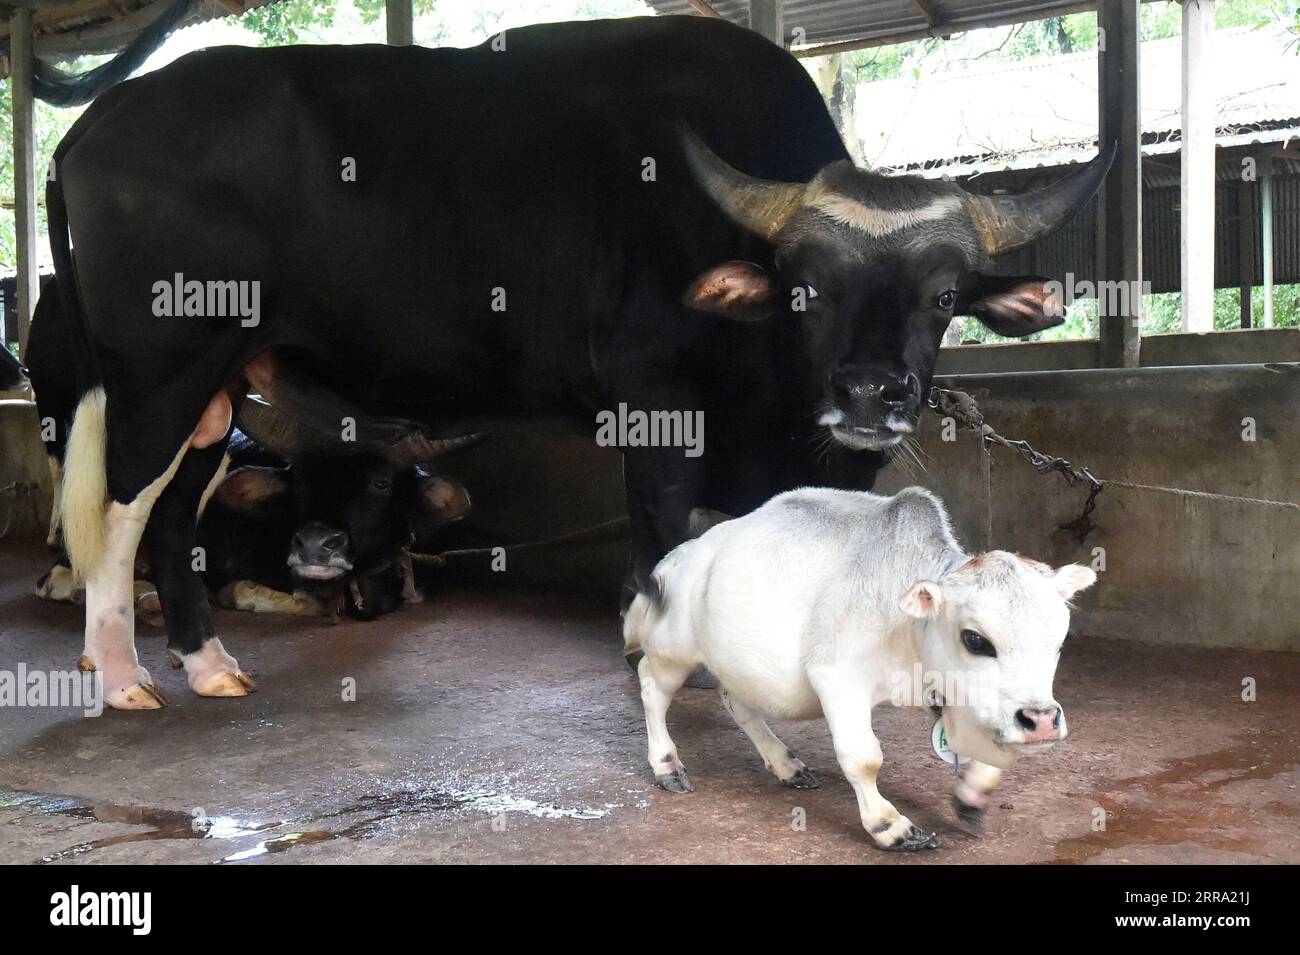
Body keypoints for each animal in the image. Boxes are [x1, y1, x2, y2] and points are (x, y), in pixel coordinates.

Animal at [47, 16, 1110, 708]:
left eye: (943, 297)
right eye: (804, 285)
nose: (870, 395)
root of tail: (95, 121)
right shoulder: (656, 402)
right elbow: (662, 529)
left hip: (219, 387)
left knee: (172, 513)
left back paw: (207, 664)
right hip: (158, 370)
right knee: (119, 509)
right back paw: (124, 672)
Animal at [624, 486, 1096, 851]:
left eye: (1059, 640)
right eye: (976, 639)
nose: (1043, 720)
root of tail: (674, 559)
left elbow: (990, 753)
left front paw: (971, 796)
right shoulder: (836, 673)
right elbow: (863, 757)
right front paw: (890, 826)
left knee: (736, 702)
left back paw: (785, 764)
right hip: (673, 650)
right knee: (651, 687)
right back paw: (667, 764)